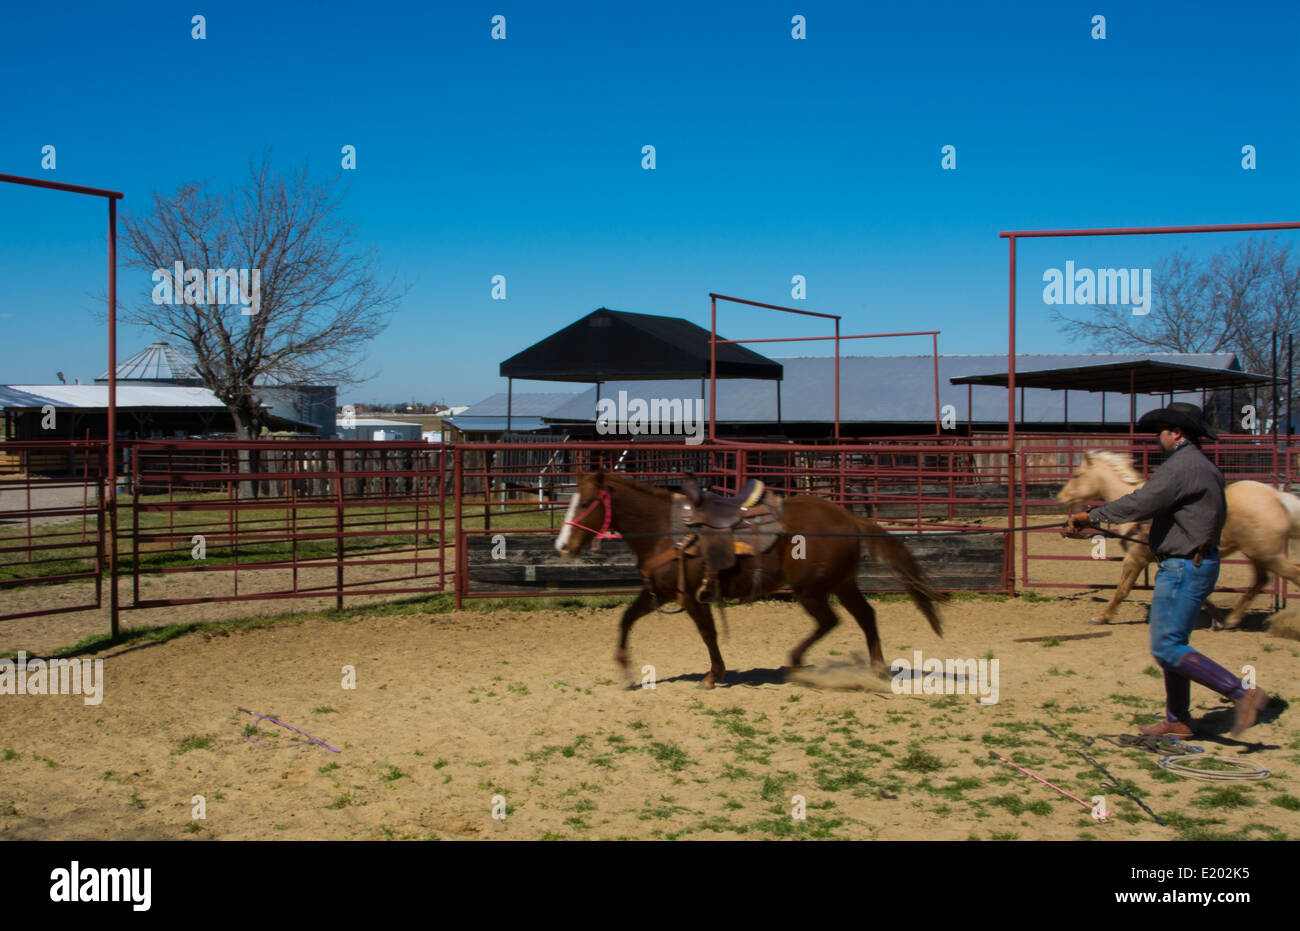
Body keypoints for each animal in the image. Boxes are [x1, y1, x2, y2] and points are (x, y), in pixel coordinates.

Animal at [554, 468, 949, 688]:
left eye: (585, 502)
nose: (562, 546)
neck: (665, 531)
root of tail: (850, 518)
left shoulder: (691, 597)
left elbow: (708, 634)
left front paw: (713, 675)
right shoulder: (660, 593)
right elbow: (626, 618)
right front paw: (623, 669)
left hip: (811, 590)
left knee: (830, 621)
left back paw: (796, 663)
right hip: (841, 584)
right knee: (865, 616)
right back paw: (876, 668)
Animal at [1057, 449, 1300, 628]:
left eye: (1076, 475)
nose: (1061, 497)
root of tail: (1277, 497)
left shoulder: (1135, 559)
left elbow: (1121, 590)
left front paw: (1102, 618)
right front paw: (1217, 618)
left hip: (1266, 554)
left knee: (1292, 575)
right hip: (1257, 555)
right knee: (1261, 581)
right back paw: (1232, 619)